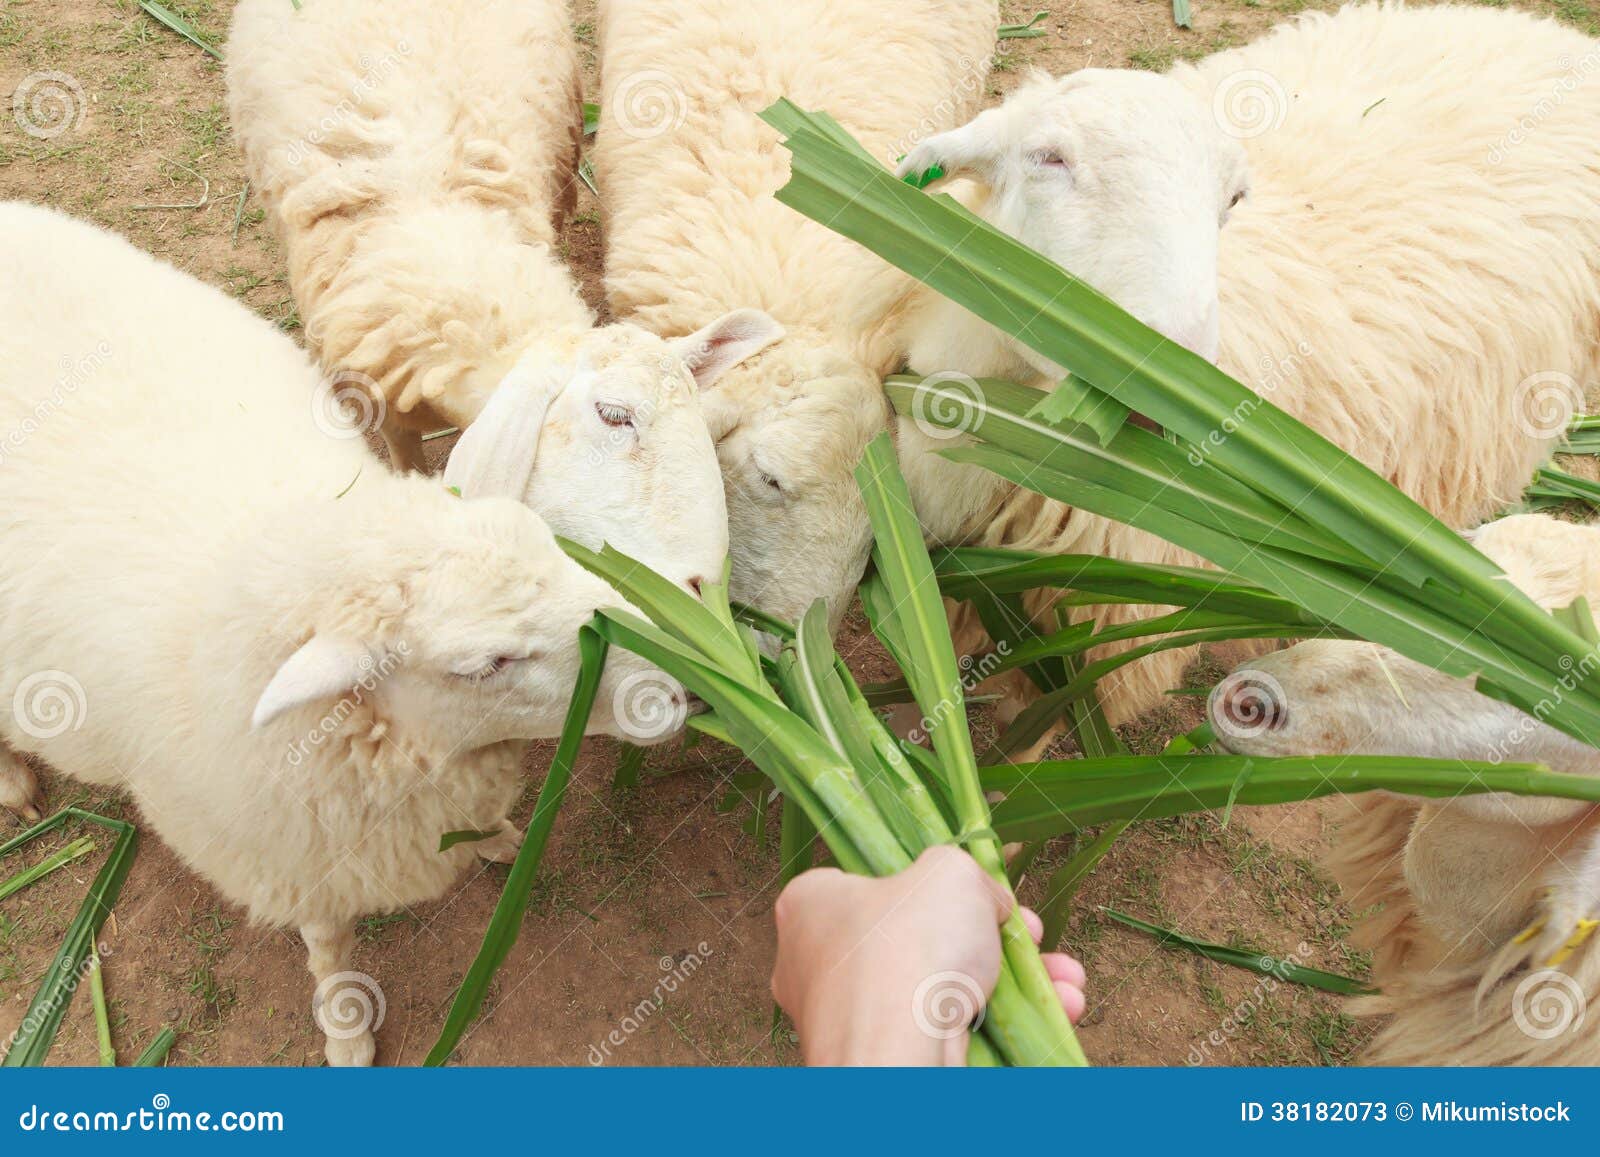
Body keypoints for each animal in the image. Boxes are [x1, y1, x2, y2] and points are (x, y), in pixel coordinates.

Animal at [0, 201, 687, 1065]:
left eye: (549, 543)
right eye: (484, 663)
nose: (681, 684)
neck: (293, 548)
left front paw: (497, 837)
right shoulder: (290, 850)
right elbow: (329, 941)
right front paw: (346, 1023)